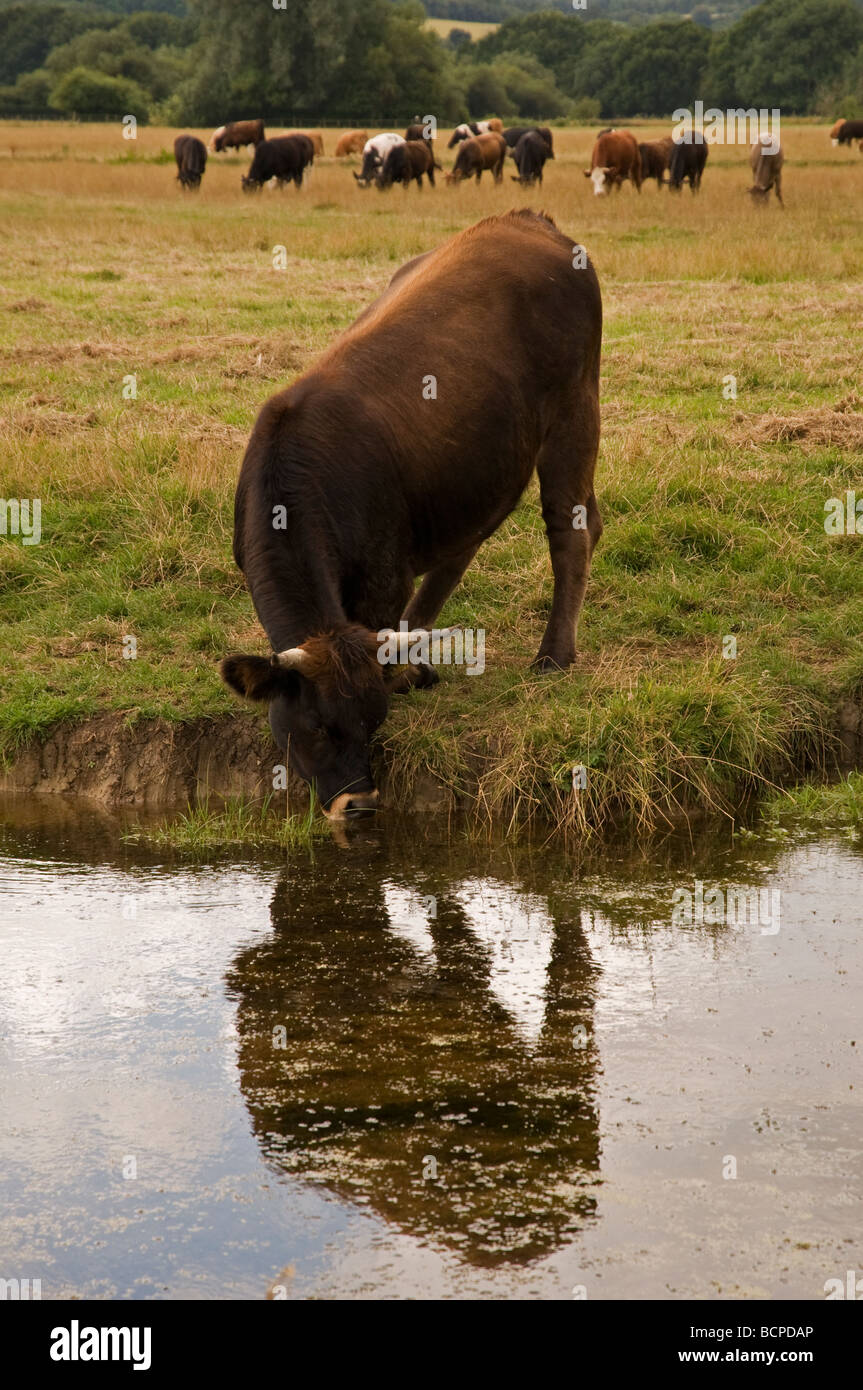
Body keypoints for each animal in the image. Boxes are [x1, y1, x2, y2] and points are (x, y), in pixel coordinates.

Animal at [219, 209, 602, 820]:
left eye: (372, 724)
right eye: (318, 727)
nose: (359, 803)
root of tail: (529, 221)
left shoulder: (383, 576)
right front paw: (405, 670)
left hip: (574, 414)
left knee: (570, 531)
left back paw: (553, 655)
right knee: (473, 544)